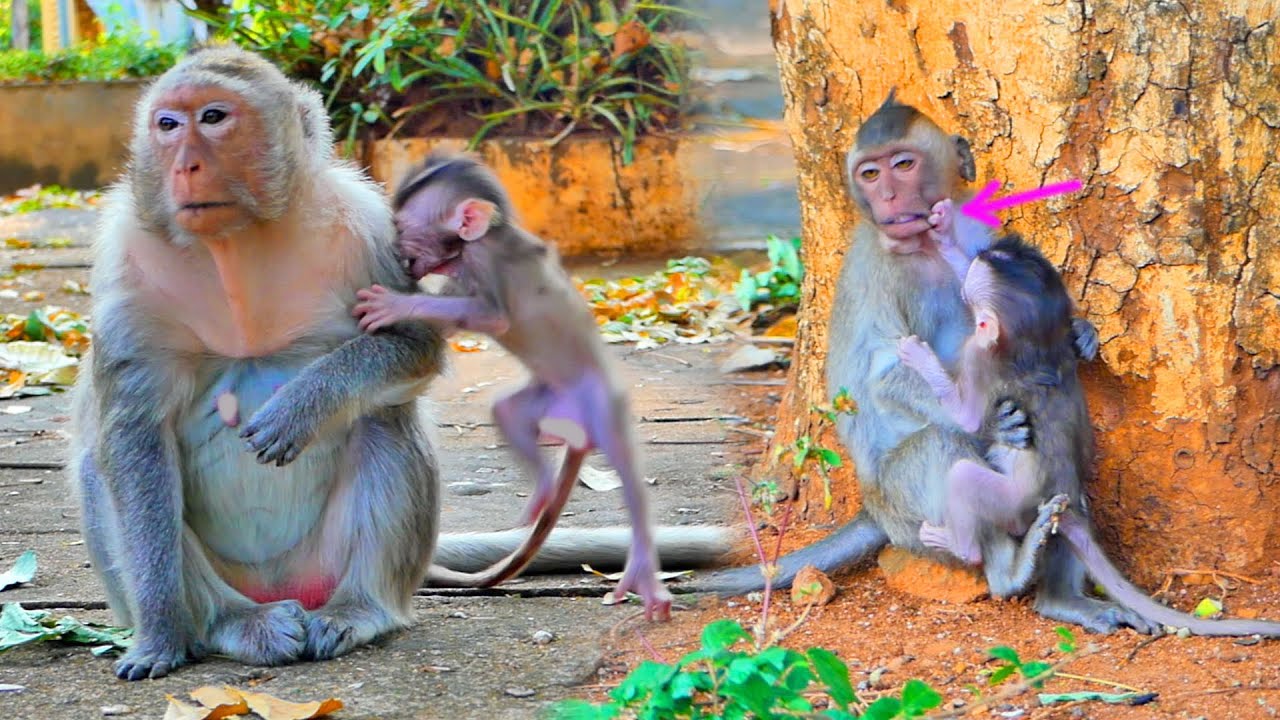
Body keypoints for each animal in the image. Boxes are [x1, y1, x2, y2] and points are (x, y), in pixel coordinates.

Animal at [352, 151, 674, 621]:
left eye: (405, 230)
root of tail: (578, 427)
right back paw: (543, 485)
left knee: (629, 476)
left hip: (602, 401)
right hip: (549, 397)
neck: (480, 241)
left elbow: (492, 316)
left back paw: (643, 568)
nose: (399, 253)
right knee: (507, 412)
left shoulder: (486, 262)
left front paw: (395, 304)